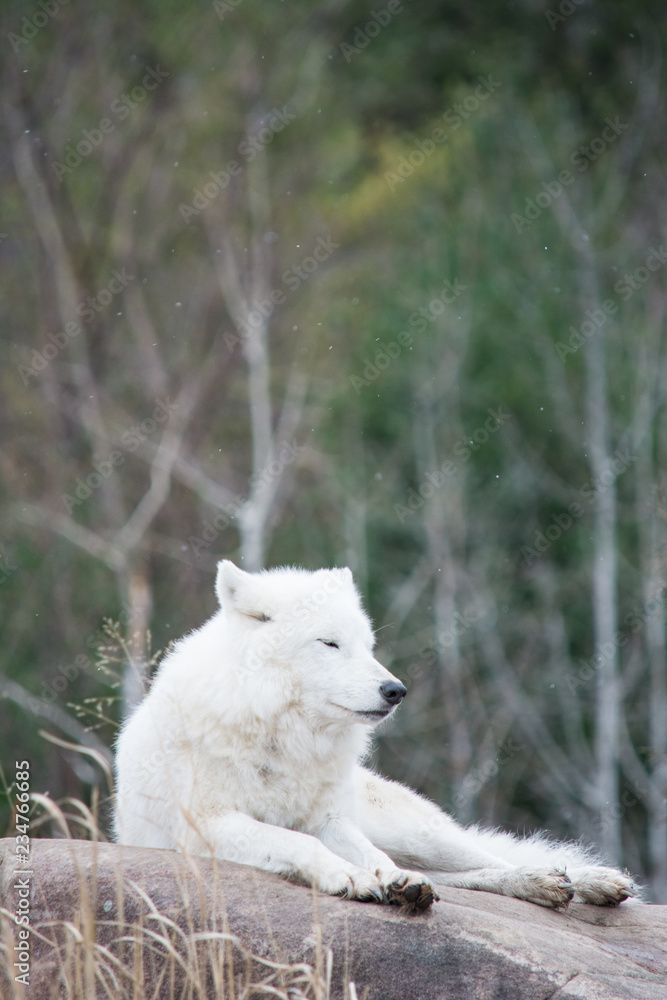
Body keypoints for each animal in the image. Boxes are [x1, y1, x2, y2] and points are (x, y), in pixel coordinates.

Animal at [114, 561, 637, 911]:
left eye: (368, 647)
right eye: (330, 644)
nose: (396, 690)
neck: (282, 735)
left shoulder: (332, 819)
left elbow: (367, 852)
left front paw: (390, 878)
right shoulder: (208, 823)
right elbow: (298, 842)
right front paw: (350, 875)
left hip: (415, 833)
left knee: (489, 859)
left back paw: (577, 882)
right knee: (469, 875)